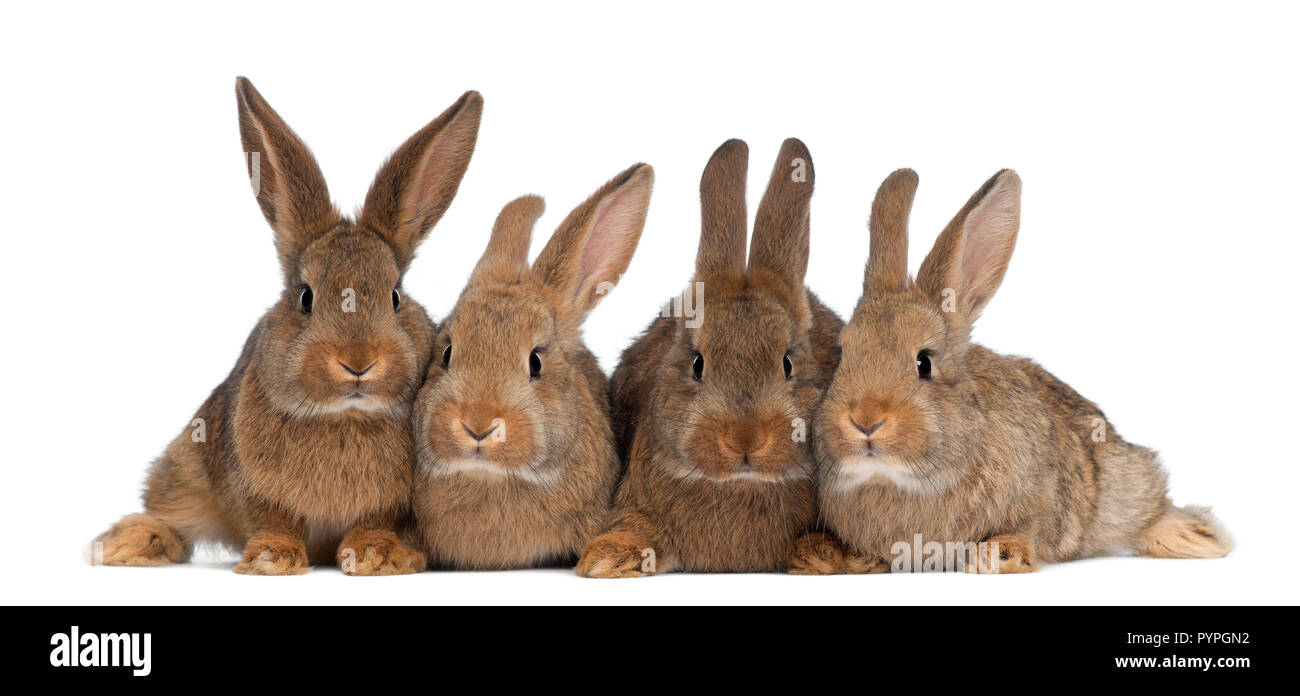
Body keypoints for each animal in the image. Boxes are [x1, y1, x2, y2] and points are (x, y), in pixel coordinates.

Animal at [92, 77, 482, 575]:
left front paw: (376, 555)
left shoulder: (395, 503)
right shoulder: (255, 488)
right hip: (187, 469)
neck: (344, 416)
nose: (358, 362)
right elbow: (273, 519)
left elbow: (375, 522)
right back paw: (132, 542)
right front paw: (272, 559)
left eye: (395, 297)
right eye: (305, 297)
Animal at [575, 139, 844, 578]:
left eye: (788, 363)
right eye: (697, 363)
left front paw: (823, 556)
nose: (744, 438)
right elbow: (638, 526)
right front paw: (606, 557)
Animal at [787, 168, 1234, 575]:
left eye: (924, 362)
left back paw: (1197, 537)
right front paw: (833, 557)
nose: (865, 421)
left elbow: (1032, 527)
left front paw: (998, 555)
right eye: (843, 356)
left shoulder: (1045, 497)